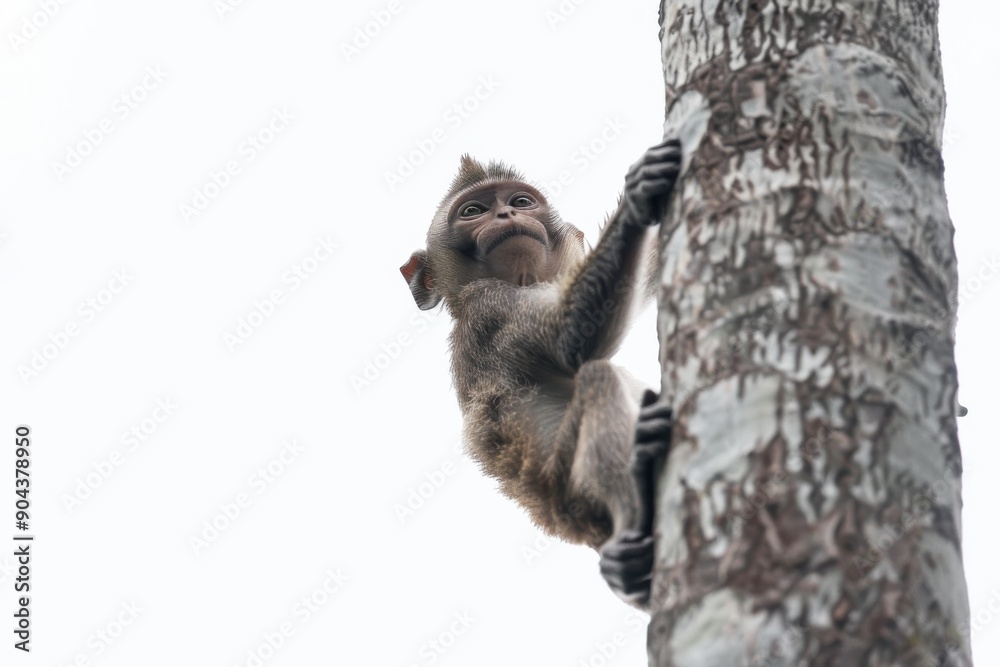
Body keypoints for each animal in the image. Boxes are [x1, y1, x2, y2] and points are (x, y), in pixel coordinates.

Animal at [400, 139, 680, 606]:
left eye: (520, 202)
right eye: (473, 211)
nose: (506, 216)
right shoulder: (490, 308)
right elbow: (572, 342)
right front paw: (640, 195)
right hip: (575, 491)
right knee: (599, 378)